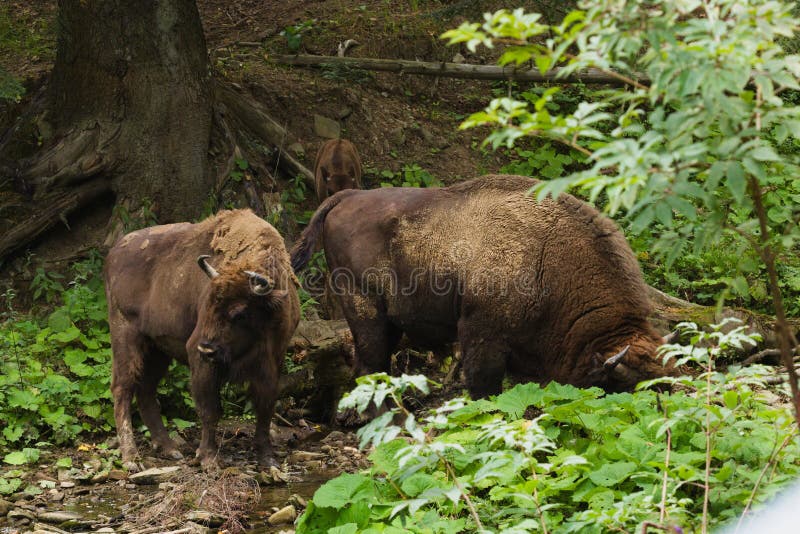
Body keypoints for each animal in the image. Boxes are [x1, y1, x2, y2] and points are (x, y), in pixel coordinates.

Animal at [104, 209, 300, 469]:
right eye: (206, 305)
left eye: (239, 313)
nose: (207, 349)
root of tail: (114, 252)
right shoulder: (200, 360)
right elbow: (210, 409)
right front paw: (207, 458)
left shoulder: (272, 361)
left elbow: (265, 408)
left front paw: (268, 459)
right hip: (126, 338)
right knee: (123, 389)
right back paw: (131, 458)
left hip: (157, 349)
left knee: (146, 391)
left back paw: (170, 448)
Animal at [291, 174, 673, 398]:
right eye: (623, 385)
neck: (548, 257)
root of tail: (348, 196)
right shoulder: (482, 335)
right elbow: (482, 384)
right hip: (364, 309)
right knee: (370, 365)